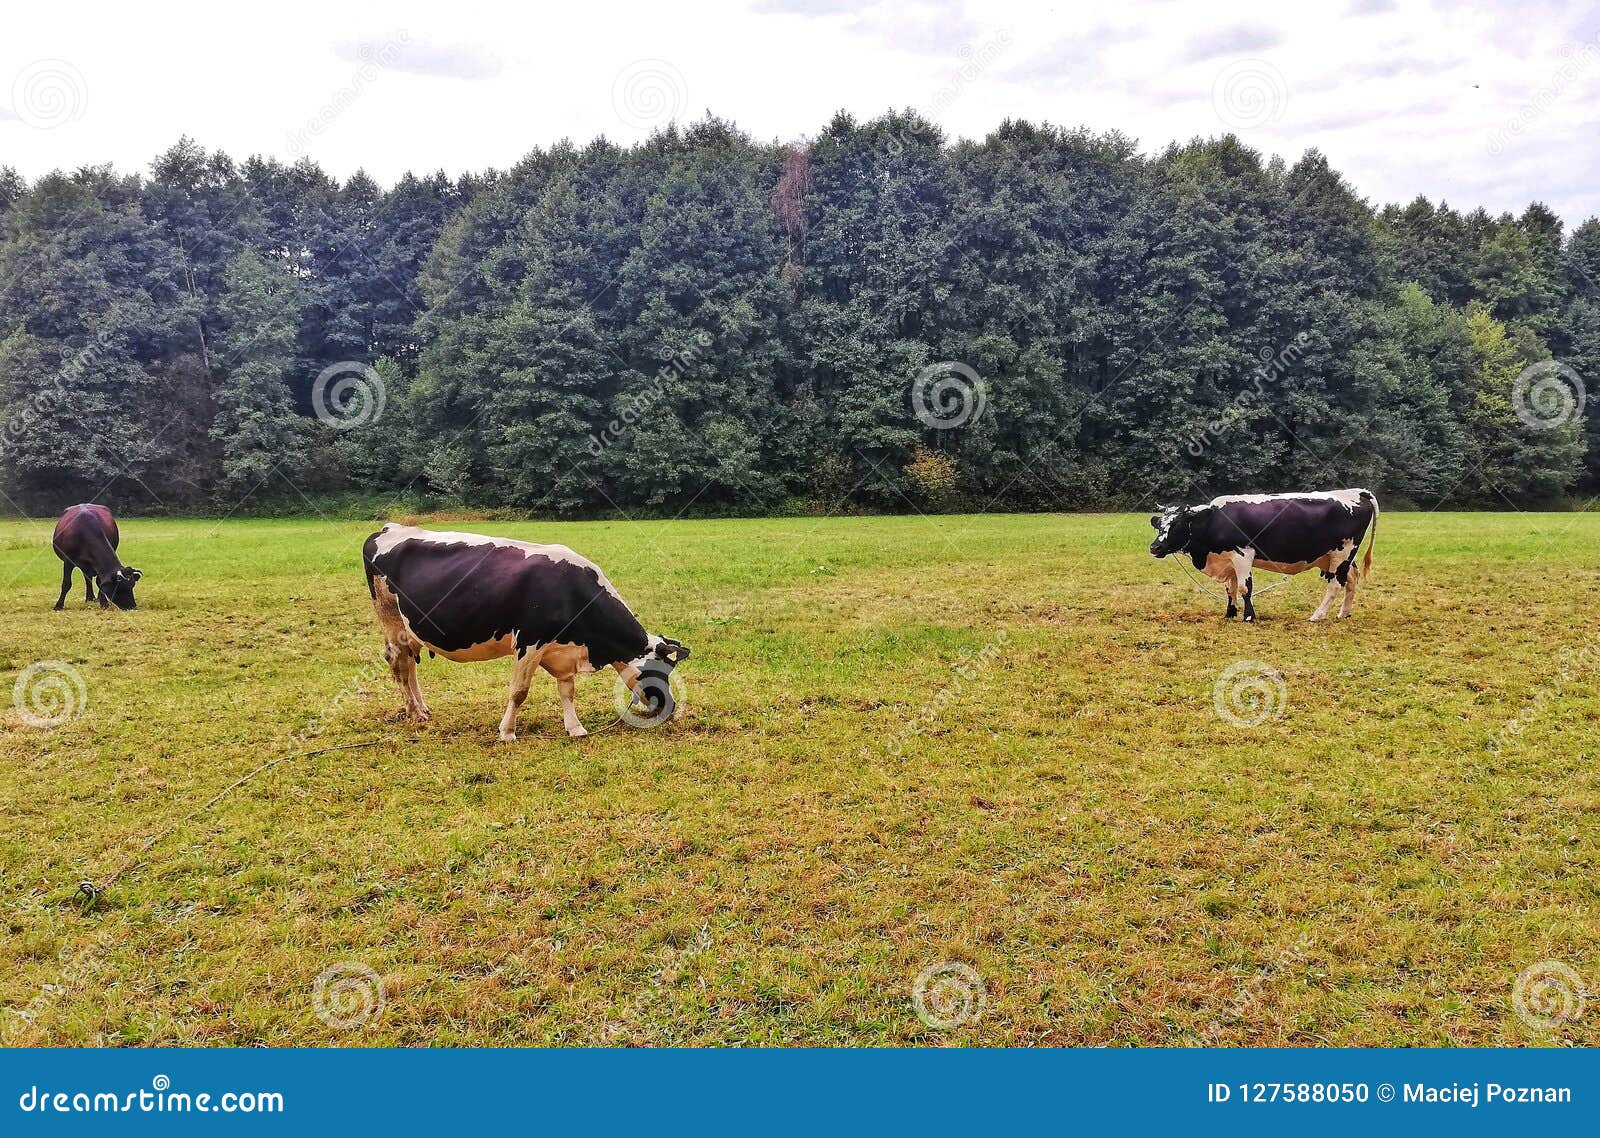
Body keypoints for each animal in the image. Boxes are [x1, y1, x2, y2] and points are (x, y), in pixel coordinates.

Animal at [362, 524, 690, 741]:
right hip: (391, 620)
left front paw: (575, 728)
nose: (671, 707)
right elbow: (519, 691)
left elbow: (567, 691)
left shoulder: (562, 650)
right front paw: (507, 732)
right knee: (400, 666)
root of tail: (389, 527)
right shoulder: (530, 643)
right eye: (660, 670)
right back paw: (414, 713)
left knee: (410, 666)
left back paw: (423, 708)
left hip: (411, 631)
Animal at [1149, 489, 1379, 622]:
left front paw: (1248, 616)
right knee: (1351, 580)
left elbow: (1244, 588)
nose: (1154, 547)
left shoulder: (1242, 554)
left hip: (1342, 554)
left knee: (1335, 584)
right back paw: (1344, 613)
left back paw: (1318, 615)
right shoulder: (1228, 559)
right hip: (1338, 557)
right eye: (1159, 525)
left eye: (1177, 524)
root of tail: (1356, 492)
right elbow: (1230, 589)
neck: (1214, 520)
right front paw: (1230, 613)